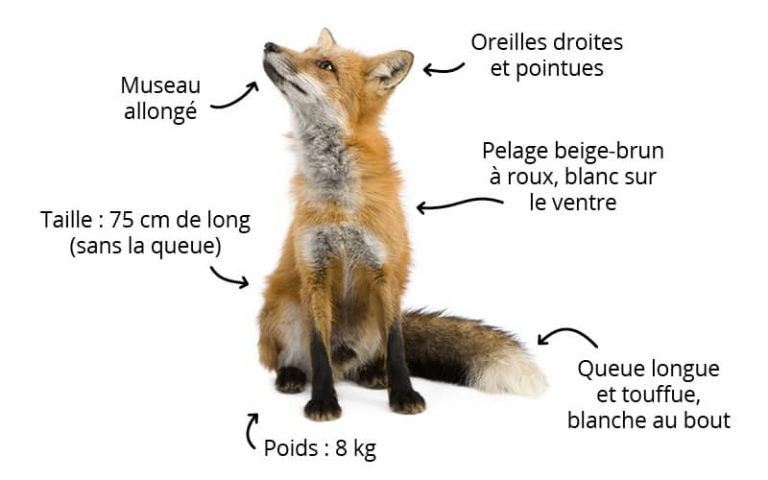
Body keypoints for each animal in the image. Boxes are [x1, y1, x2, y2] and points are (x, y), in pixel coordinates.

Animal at [259, 28, 547, 421]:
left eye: (324, 64)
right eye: (306, 51)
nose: (269, 44)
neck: (341, 201)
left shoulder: (387, 270)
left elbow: (397, 347)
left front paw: (403, 394)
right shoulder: (314, 271)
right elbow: (318, 350)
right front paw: (323, 401)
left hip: (371, 323)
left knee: (369, 357)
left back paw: (372, 374)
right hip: (284, 310)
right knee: (300, 359)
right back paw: (292, 375)